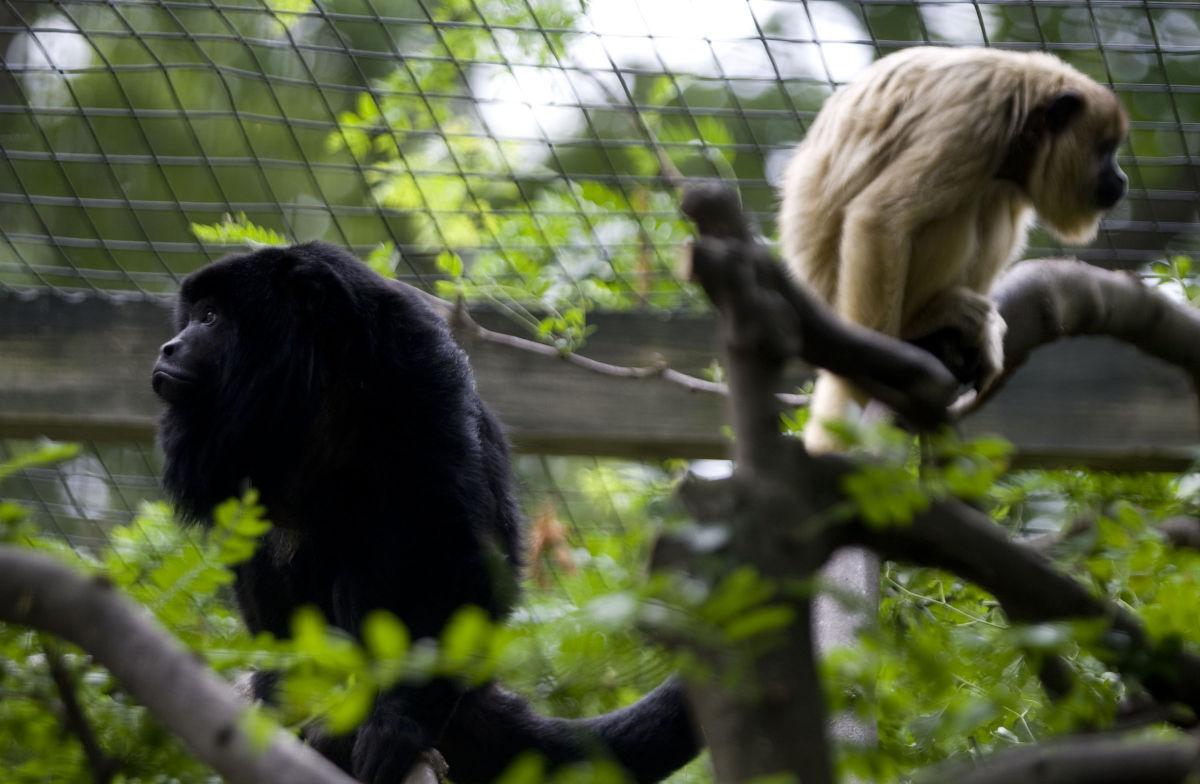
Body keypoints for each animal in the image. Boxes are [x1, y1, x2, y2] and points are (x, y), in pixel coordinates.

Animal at [777, 46, 1128, 451]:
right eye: (1106, 149)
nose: (1122, 179)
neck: (1023, 111)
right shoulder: (974, 126)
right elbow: (879, 217)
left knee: (994, 200)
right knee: (961, 206)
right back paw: (924, 324)